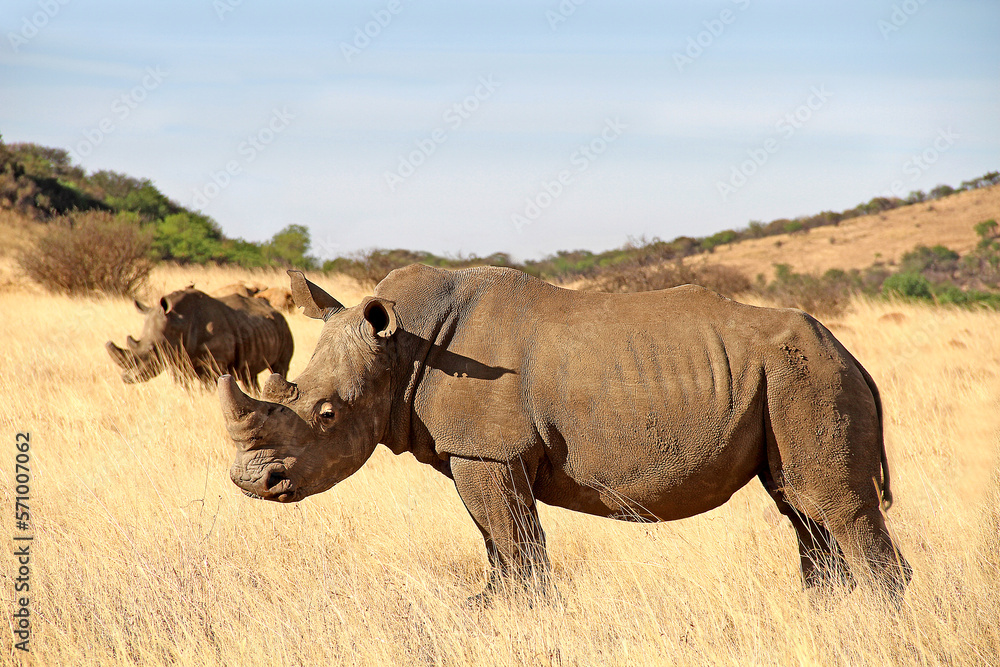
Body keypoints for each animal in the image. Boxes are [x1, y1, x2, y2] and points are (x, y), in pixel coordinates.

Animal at [107, 287, 293, 392]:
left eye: (152, 350)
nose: (127, 378)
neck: (179, 321)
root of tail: (275, 310)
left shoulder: (215, 361)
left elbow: (209, 386)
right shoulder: (175, 358)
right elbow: (182, 384)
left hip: (284, 325)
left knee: (280, 368)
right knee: (249, 374)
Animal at [219, 266, 912, 601]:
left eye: (327, 415)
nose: (252, 482)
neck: (401, 347)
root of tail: (853, 356)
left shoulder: (488, 450)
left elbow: (515, 541)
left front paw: (519, 614)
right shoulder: (478, 454)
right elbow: (498, 543)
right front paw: (489, 610)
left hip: (809, 377)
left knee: (831, 506)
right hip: (792, 378)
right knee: (801, 509)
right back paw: (830, 616)